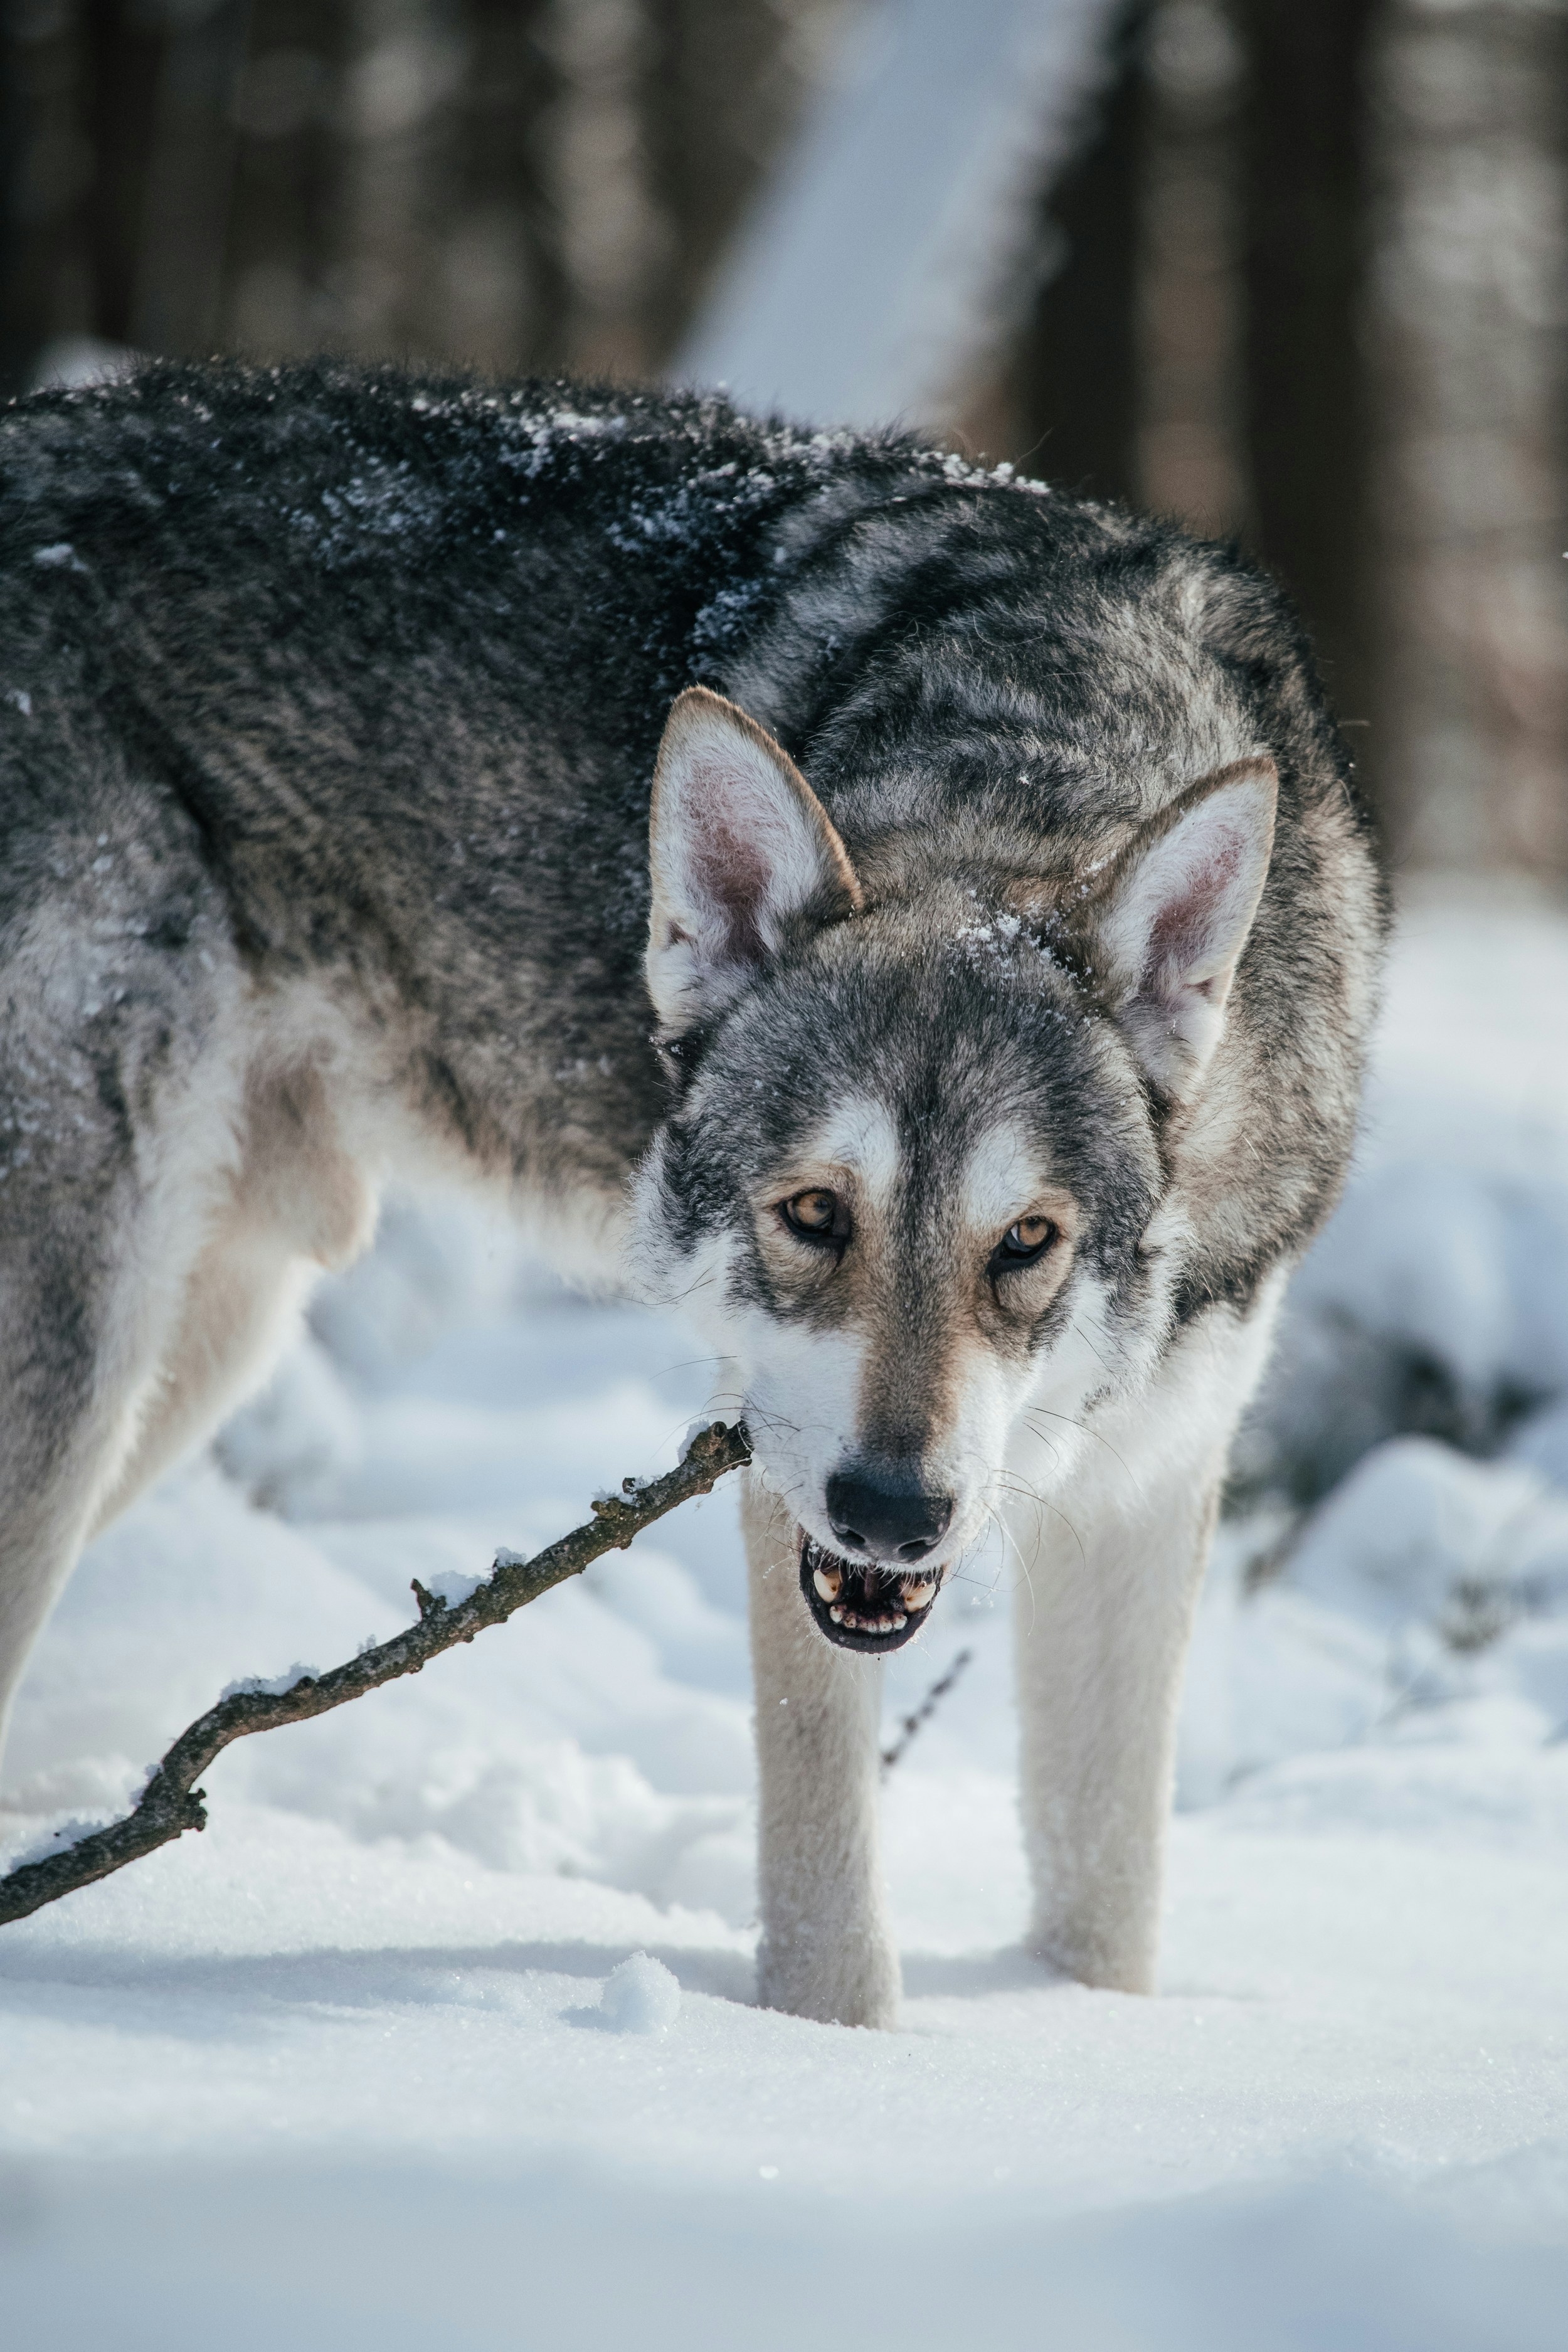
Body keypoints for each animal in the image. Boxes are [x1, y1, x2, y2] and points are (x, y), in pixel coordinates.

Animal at [0, 361, 1383, 2022]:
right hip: (91, 1372)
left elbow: (1106, 1913)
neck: (1027, 767)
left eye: (1028, 1243)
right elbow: (828, 1919)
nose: (892, 1511)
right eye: (812, 1215)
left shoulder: (1147, 1481)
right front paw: (815, 2062)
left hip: (212, 1334)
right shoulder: (778, 1491)